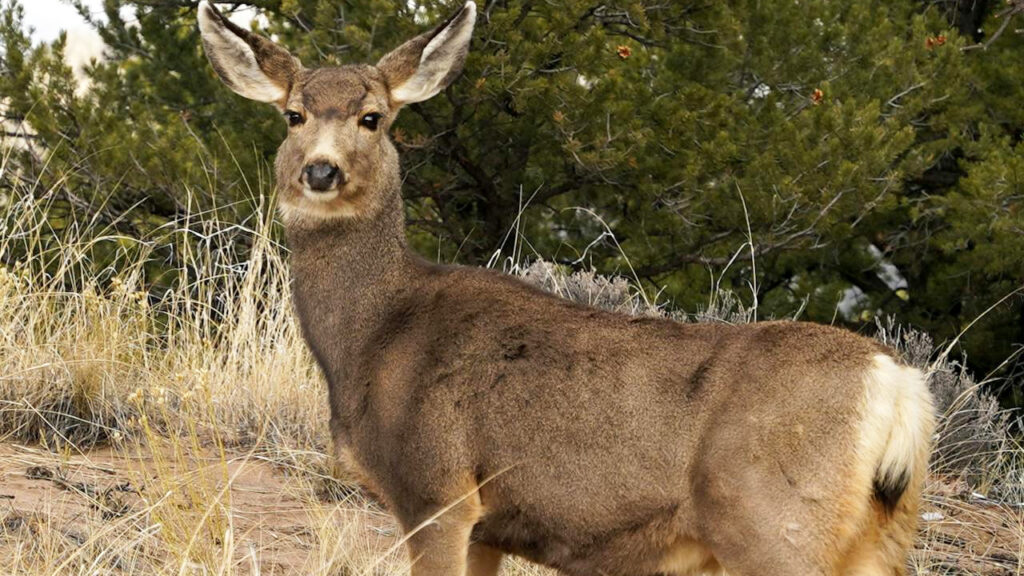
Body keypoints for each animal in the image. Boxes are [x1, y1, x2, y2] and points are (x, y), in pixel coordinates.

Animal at [197, 2, 935, 574]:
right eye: (294, 115)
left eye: (373, 117)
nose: (320, 172)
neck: (374, 335)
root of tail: (898, 385)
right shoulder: (487, 523)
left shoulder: (437, 490)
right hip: (882, 535)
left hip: (775, 520)